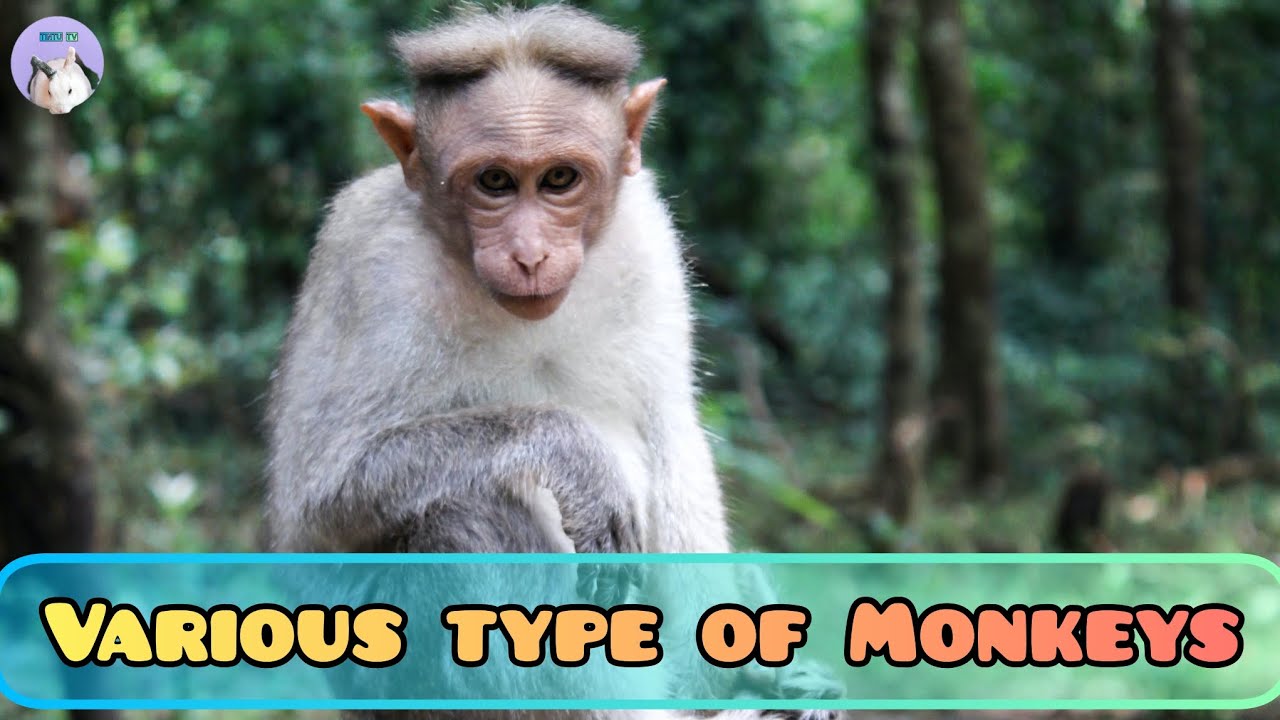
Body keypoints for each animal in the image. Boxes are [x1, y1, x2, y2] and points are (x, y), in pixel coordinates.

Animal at [265, 5, 840, 719]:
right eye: (494, 182)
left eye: (560, 179)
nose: (530, 254)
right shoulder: (371, 265)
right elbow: (314, 506)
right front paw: (570, 451)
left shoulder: (646, 235)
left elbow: (668, 424)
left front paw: (736, 668)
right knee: (457, 521)